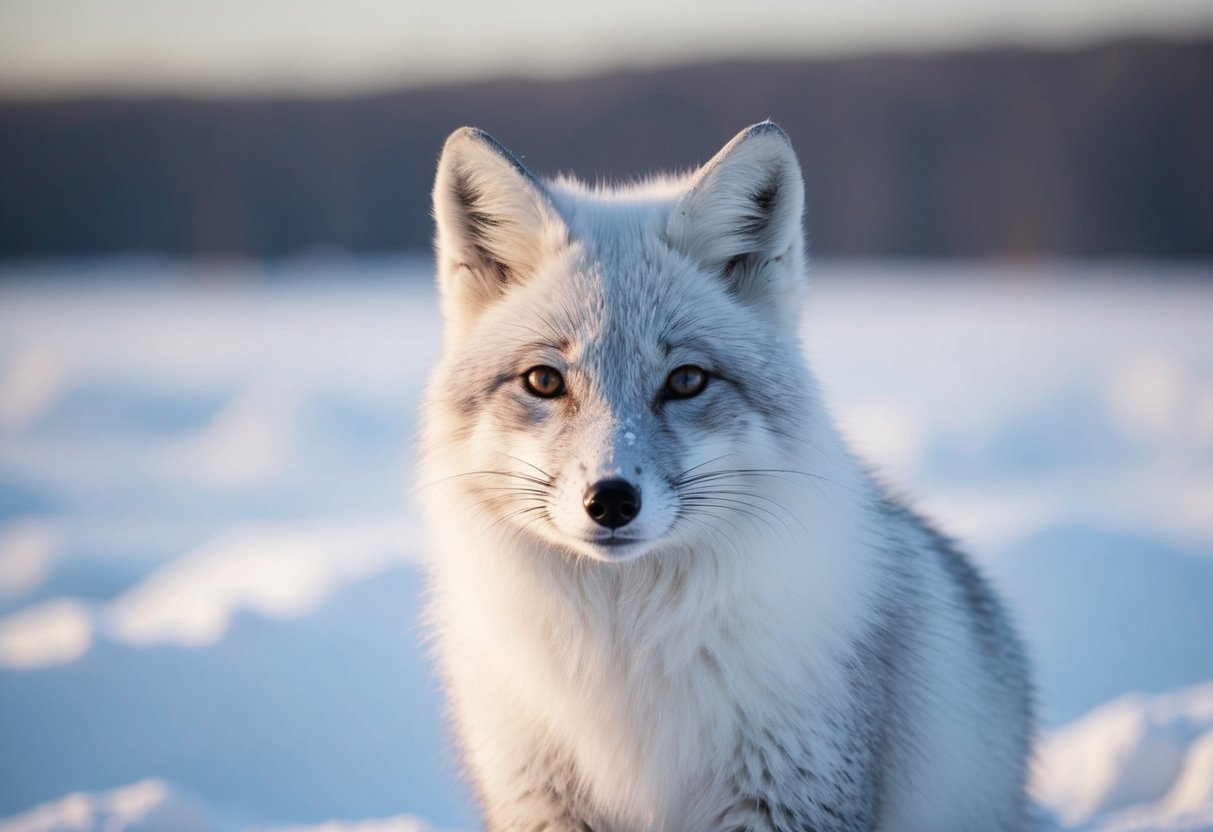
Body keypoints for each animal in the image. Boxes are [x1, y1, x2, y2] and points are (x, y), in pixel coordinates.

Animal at [417, 122, 1033, 831]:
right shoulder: (540, 801)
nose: (611, 500)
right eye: (544, 381)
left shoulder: (787, 795)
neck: (625, 654)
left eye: (686, 380)